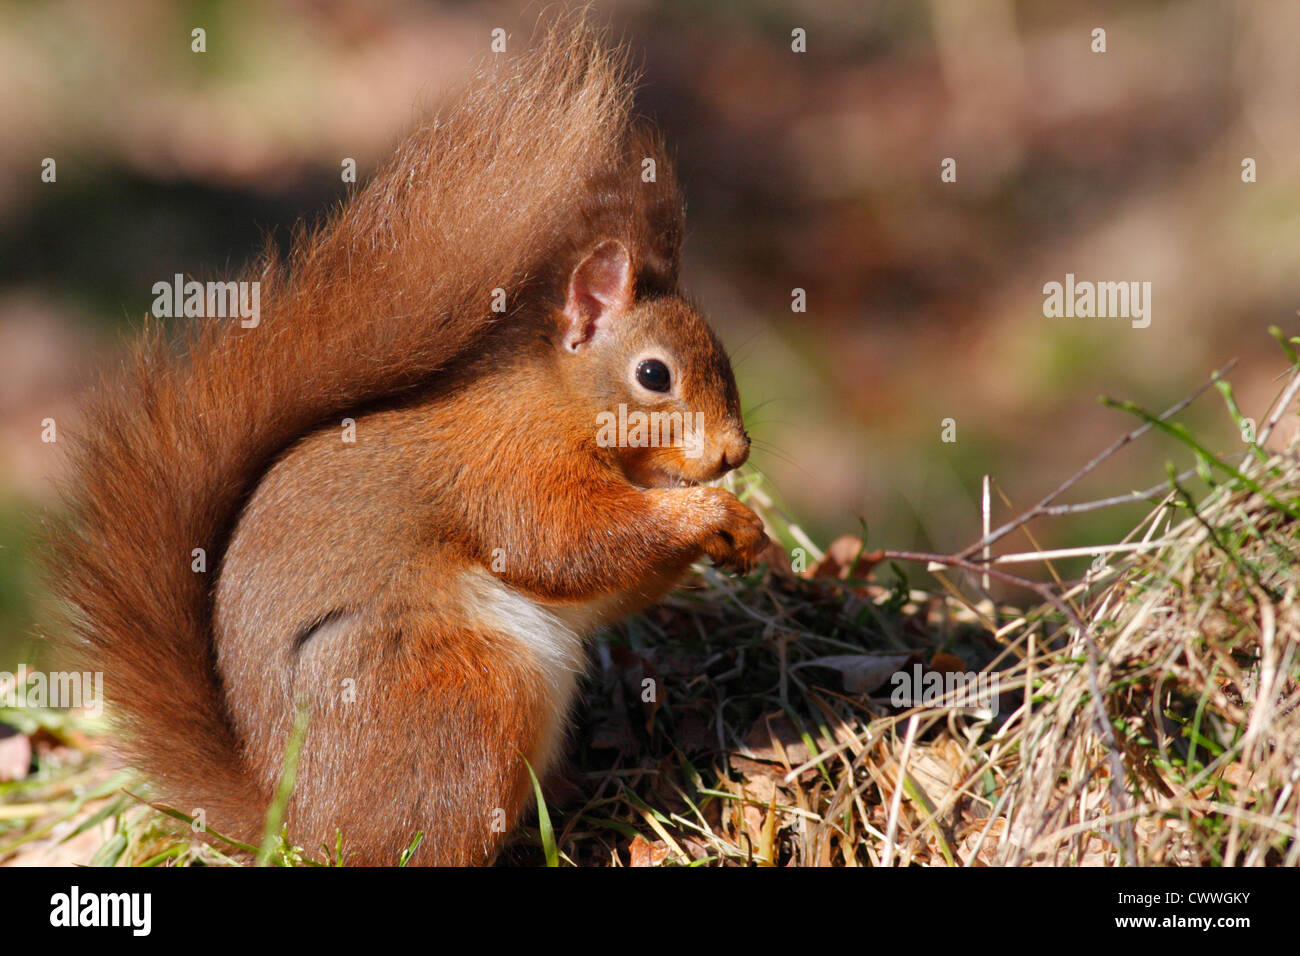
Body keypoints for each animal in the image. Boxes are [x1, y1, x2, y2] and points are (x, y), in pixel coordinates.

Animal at [48, 19, 767, 866]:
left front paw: (740, 528)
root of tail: (299, 827)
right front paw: (706, 513)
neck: (558, 403)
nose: (734, 454)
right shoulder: (507, 467)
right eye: (654, 375)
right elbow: (565, 542)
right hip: (460, 692)